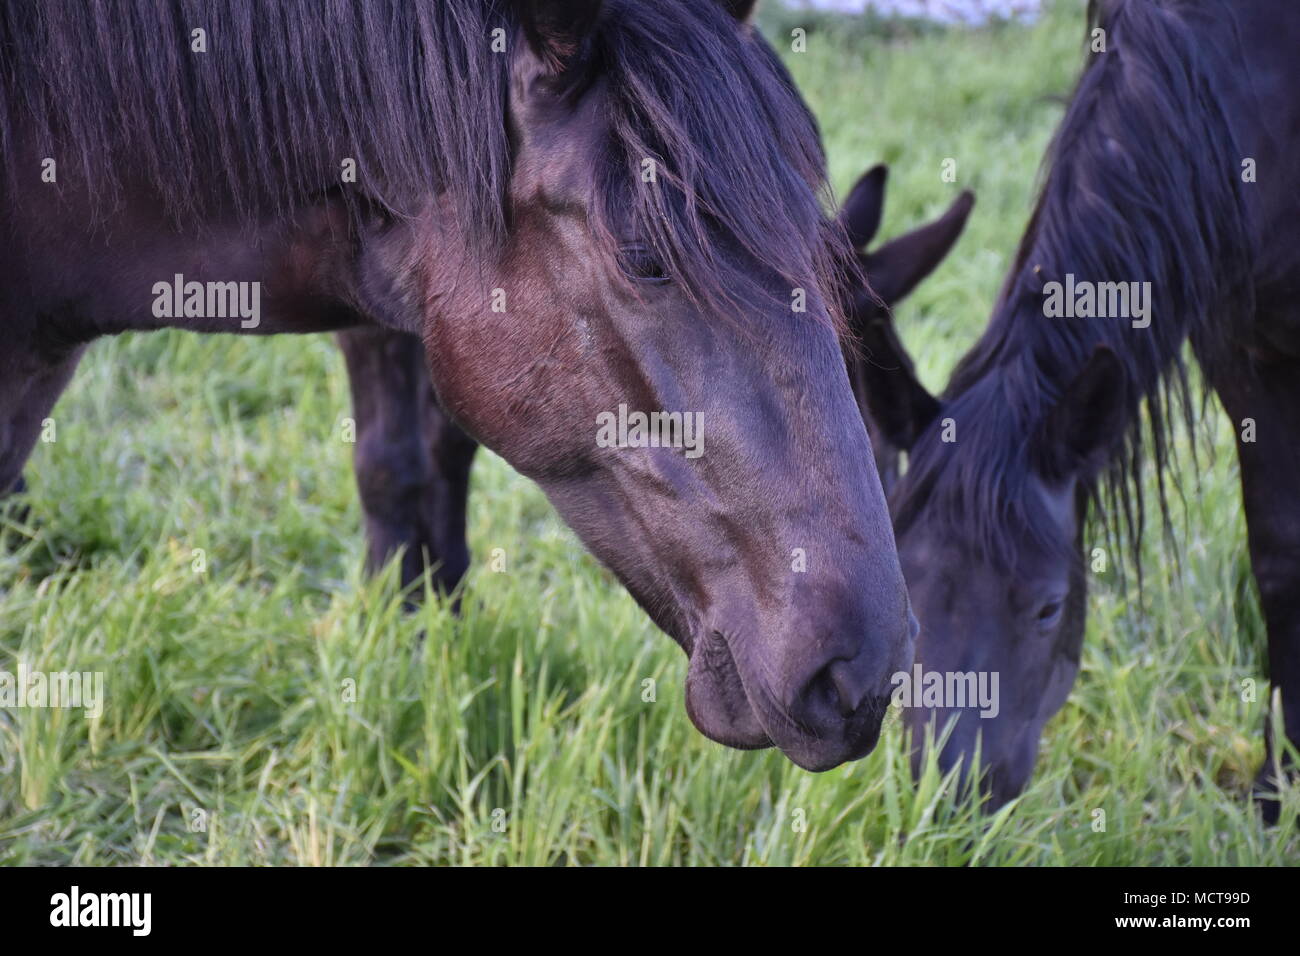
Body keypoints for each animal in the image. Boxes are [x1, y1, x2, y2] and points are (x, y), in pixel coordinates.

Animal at [854, 0, 1300, 818]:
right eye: (913, 599)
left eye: (1048, 608)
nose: (954, 804)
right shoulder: (1244, 354)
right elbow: (1279, 557)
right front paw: (1277, 788)